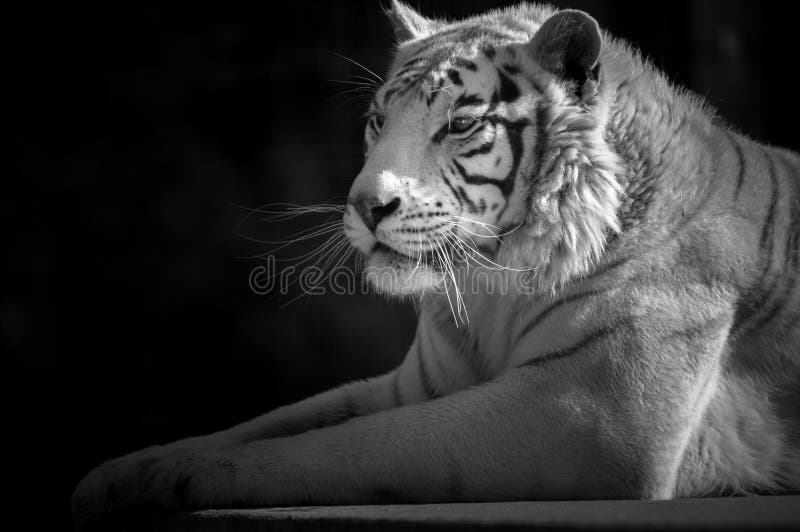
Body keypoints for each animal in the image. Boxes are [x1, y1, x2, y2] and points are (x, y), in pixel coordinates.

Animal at [73, 1, 800, 526]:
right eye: (376, 121)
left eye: (459, 125)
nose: (367, 206)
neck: (489, 292)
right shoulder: (413, 384)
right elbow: (269, 422)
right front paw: (121, 474)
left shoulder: (590, 411)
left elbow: (358, 444)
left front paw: (183, 478)